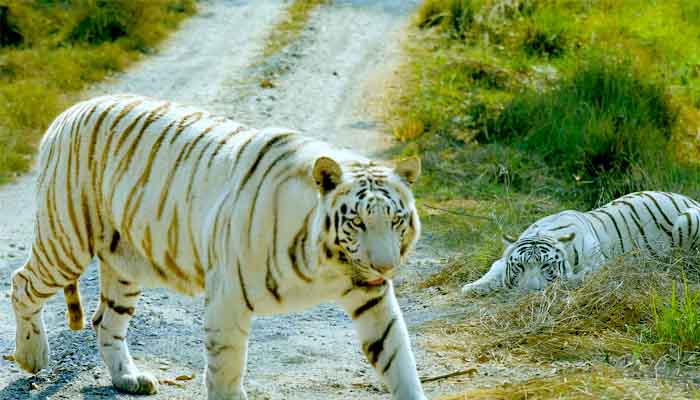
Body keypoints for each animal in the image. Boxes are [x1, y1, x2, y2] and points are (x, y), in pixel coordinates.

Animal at [10, 94, 428, 400]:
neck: (325, 265)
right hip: (66, 241)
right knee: (21, 283)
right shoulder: (228, 298)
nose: (385, 268)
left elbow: (399, 359)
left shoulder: (372, 299)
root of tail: (69, 111)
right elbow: (226, 372)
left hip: (125, 262)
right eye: (357, 222)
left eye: (396, 220)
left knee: (105, 321)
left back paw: (129, 379)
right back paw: (32, 356)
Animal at [462, 191, 700, 294]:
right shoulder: (504, 260)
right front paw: (473, 287)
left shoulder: (598, 266)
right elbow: (493, 270)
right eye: (520, 266)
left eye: (546, 266)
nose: (530, 291)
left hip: (689, 220)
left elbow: (575, 278)